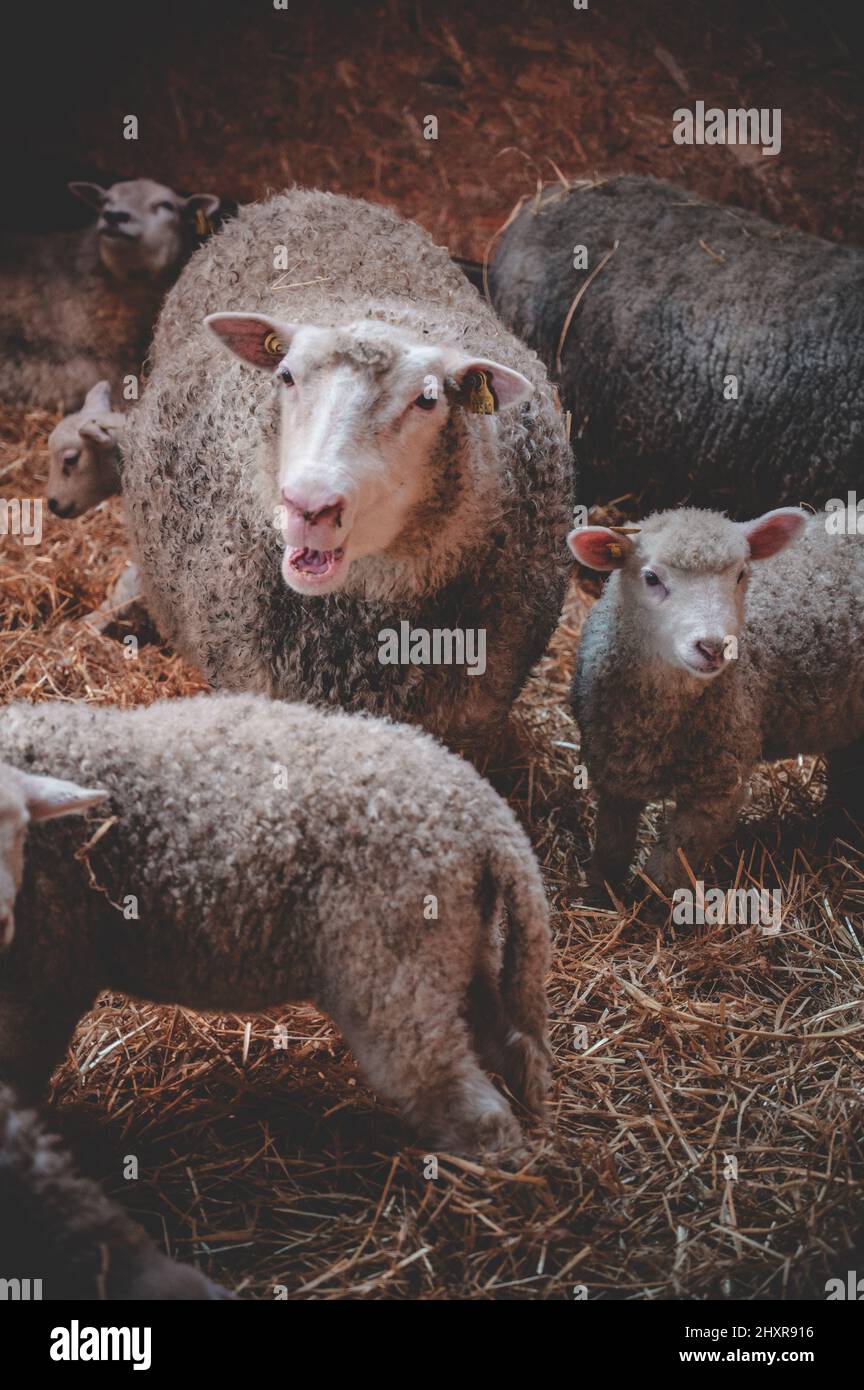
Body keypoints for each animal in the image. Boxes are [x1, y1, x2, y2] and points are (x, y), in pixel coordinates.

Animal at [0, 693, 552, 1160]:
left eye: (16, 832)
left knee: (461, 1099)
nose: (3, 920)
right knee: (509, 1043)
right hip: (461, 948)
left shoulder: (41, 979)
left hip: (395, 974)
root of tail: (489, 819)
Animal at [568, 506, 864, 898]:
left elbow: (667, 871)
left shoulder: (718, 791)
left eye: (740, 574)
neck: (660, 717)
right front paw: (600, 897)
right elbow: (611, 850)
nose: (712, 647)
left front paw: (648, 909)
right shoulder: (615, 774)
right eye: (651, 578)